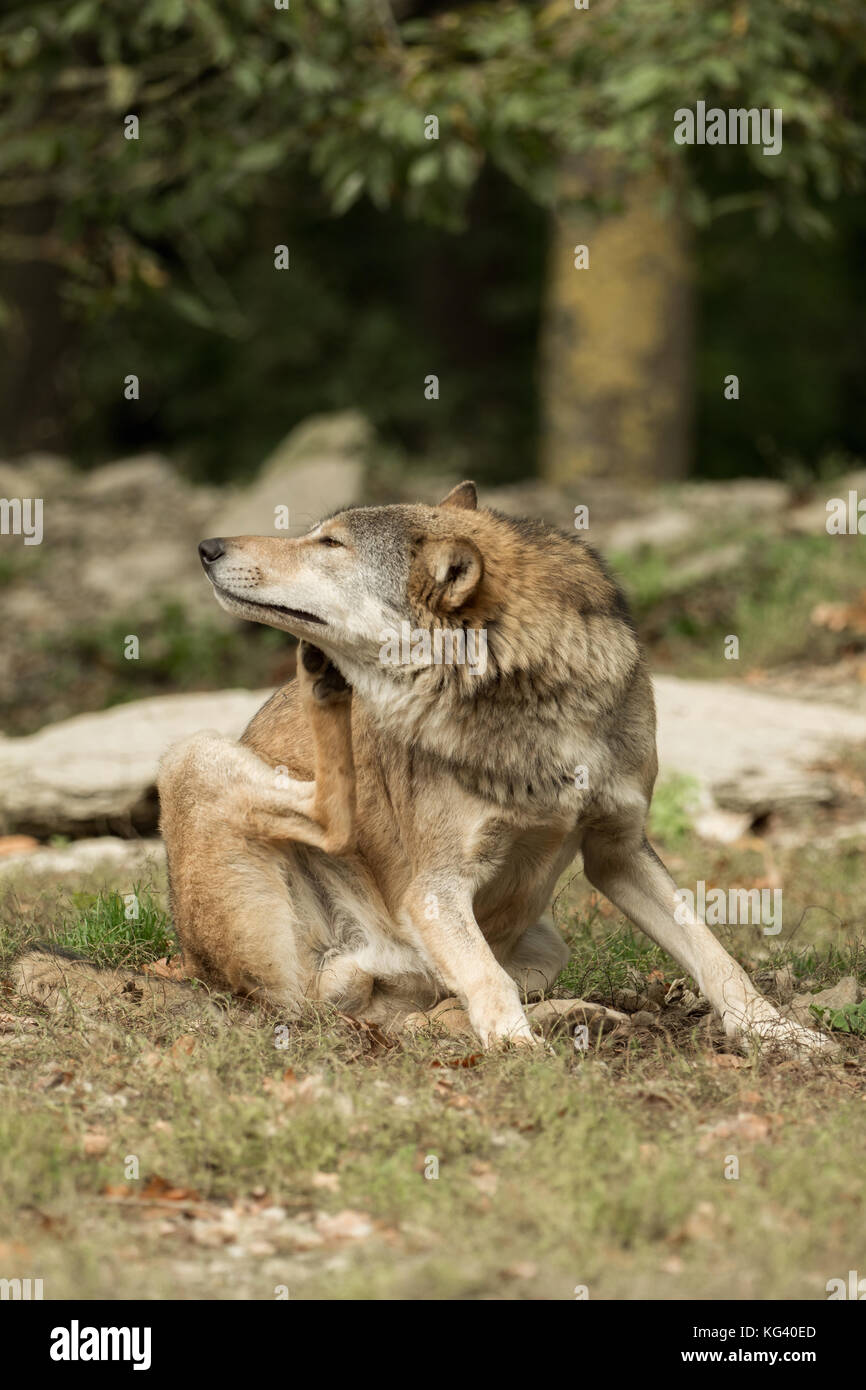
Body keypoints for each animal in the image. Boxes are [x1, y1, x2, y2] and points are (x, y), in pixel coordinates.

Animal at [157, 482, 830, 1055]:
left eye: (330, 544)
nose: (207, 547)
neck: (532, 707)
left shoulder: (618, 849)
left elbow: (717, 955)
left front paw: (779, 1033)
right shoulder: (436, 890)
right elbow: (488, 980)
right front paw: (518, 1050)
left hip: (544, 943)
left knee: (429, 1015)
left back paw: (578, 1016)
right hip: (193, 757)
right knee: (335, 831)